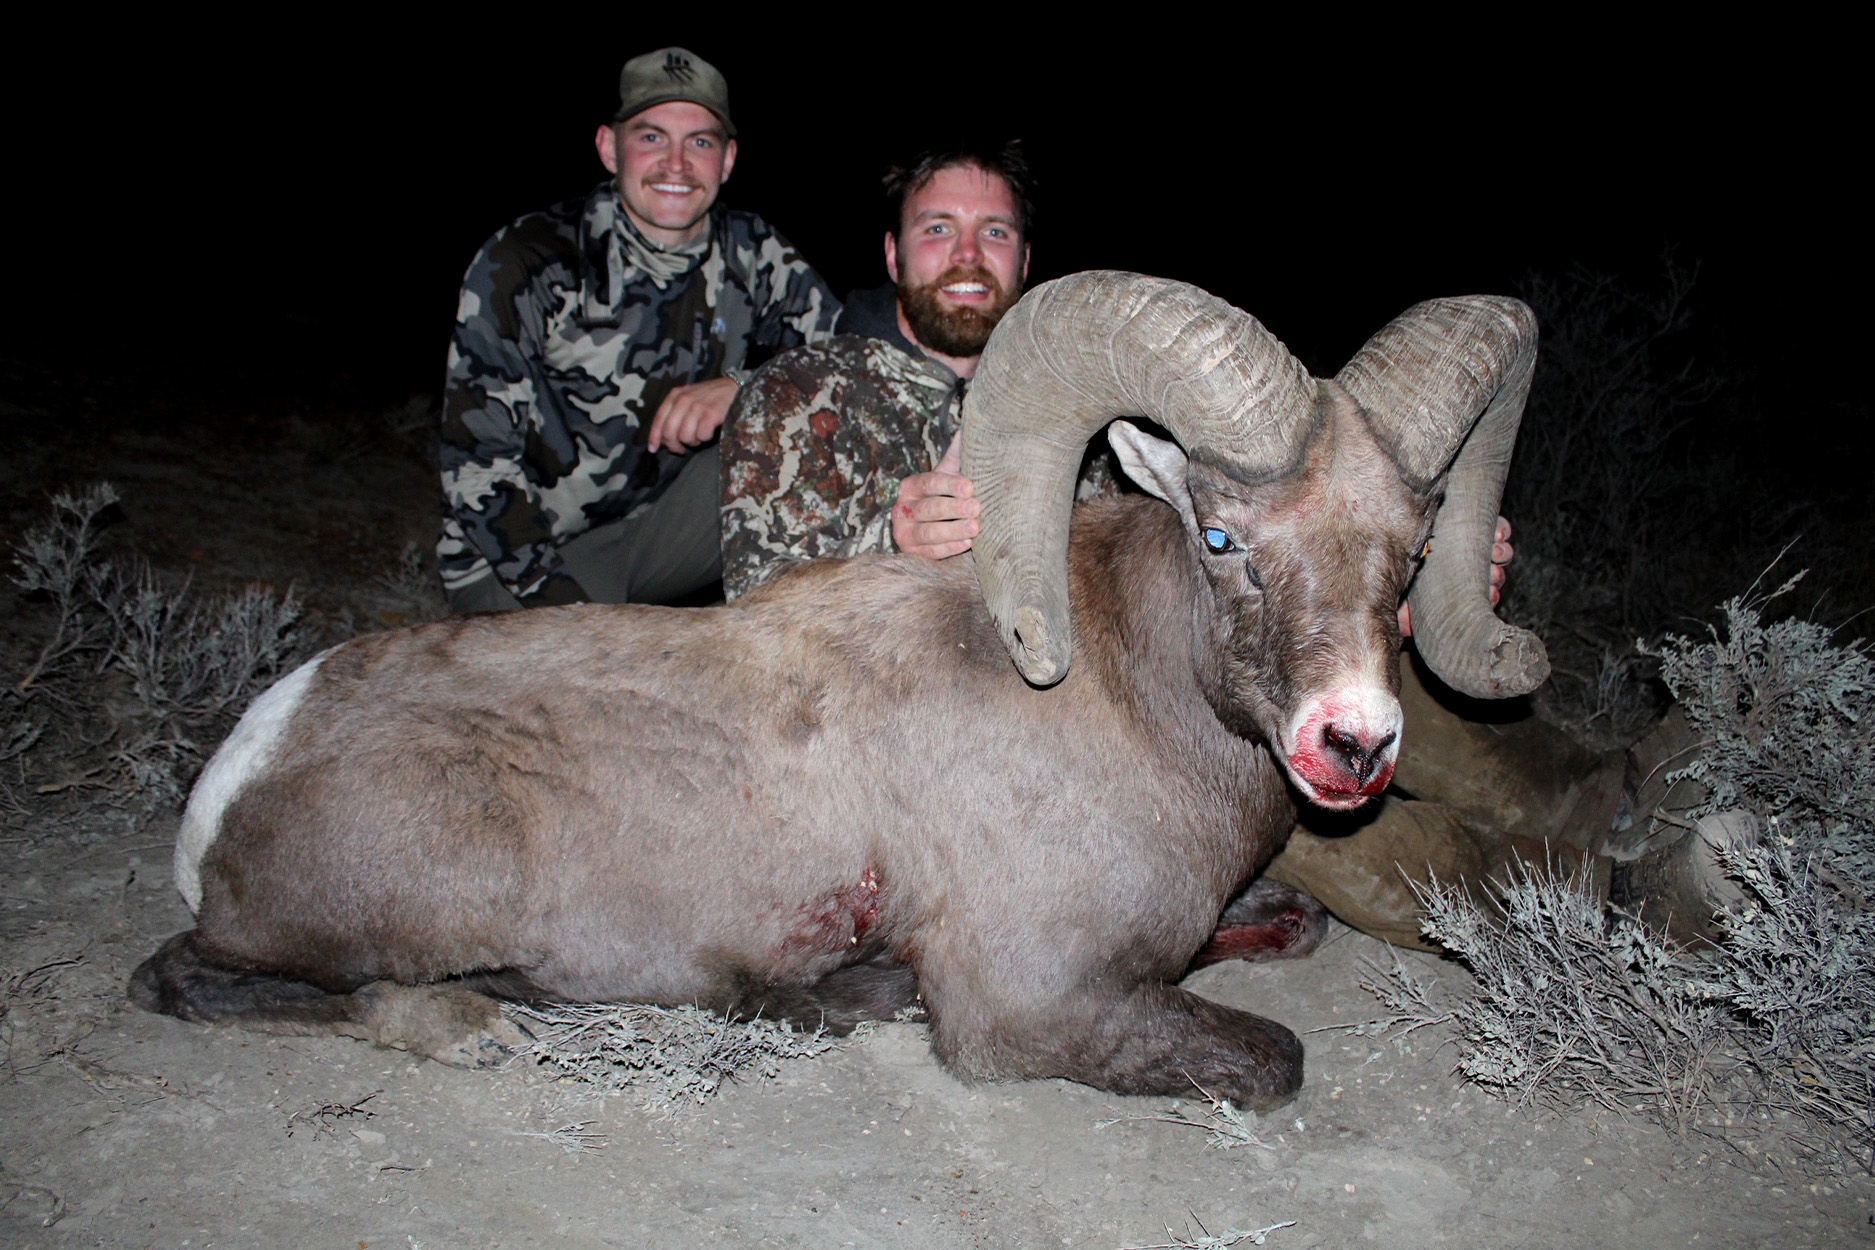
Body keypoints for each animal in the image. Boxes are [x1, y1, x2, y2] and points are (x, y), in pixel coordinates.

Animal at [130, 272, 1547, 1111]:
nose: (1353, 743)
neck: (1126, 702)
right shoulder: (1032, 1001)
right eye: (1221, 536)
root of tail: (241, 771)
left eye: (1413, 550)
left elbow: (1290, 925)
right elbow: (1273, 1057)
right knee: (187, 980)